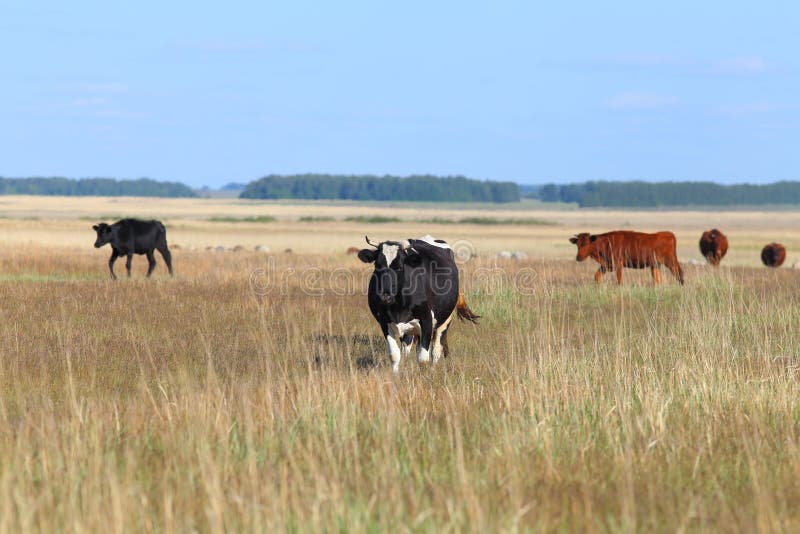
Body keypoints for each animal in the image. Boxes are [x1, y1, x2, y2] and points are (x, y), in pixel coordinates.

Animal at [357, 234, 479, 373]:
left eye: (399, 267)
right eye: (377, 265)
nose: (384, 295)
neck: (398, 306)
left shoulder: (427, 322)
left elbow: (424, 359)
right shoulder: (384, 323)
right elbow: (394, 355)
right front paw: (395, 375)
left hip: (444, 321)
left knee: (436, 350)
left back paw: (433, 369)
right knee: (411, 348)